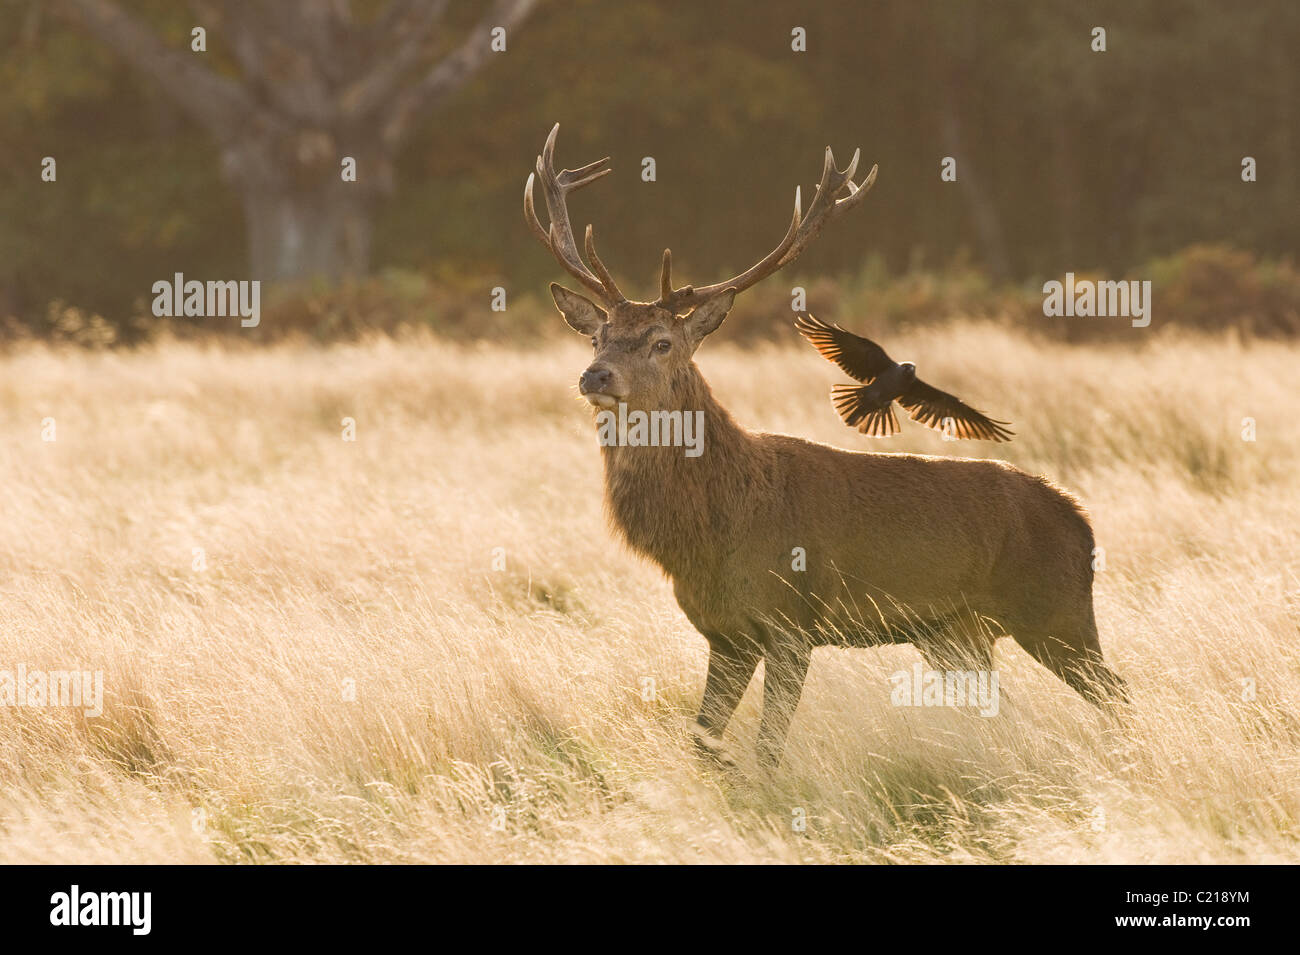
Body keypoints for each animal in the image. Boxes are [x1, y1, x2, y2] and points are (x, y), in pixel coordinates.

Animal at [524, 124, 1128, 769]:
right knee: (1007, 714)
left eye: (662, 342)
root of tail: (1082, 520)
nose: (596, 375)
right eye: (598, 336)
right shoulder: (724, 633)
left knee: (1119, 693)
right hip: (955, 633)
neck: (711, 532)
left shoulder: (792, 622)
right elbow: (703, 742)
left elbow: (767, 751)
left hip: (1058, 612)